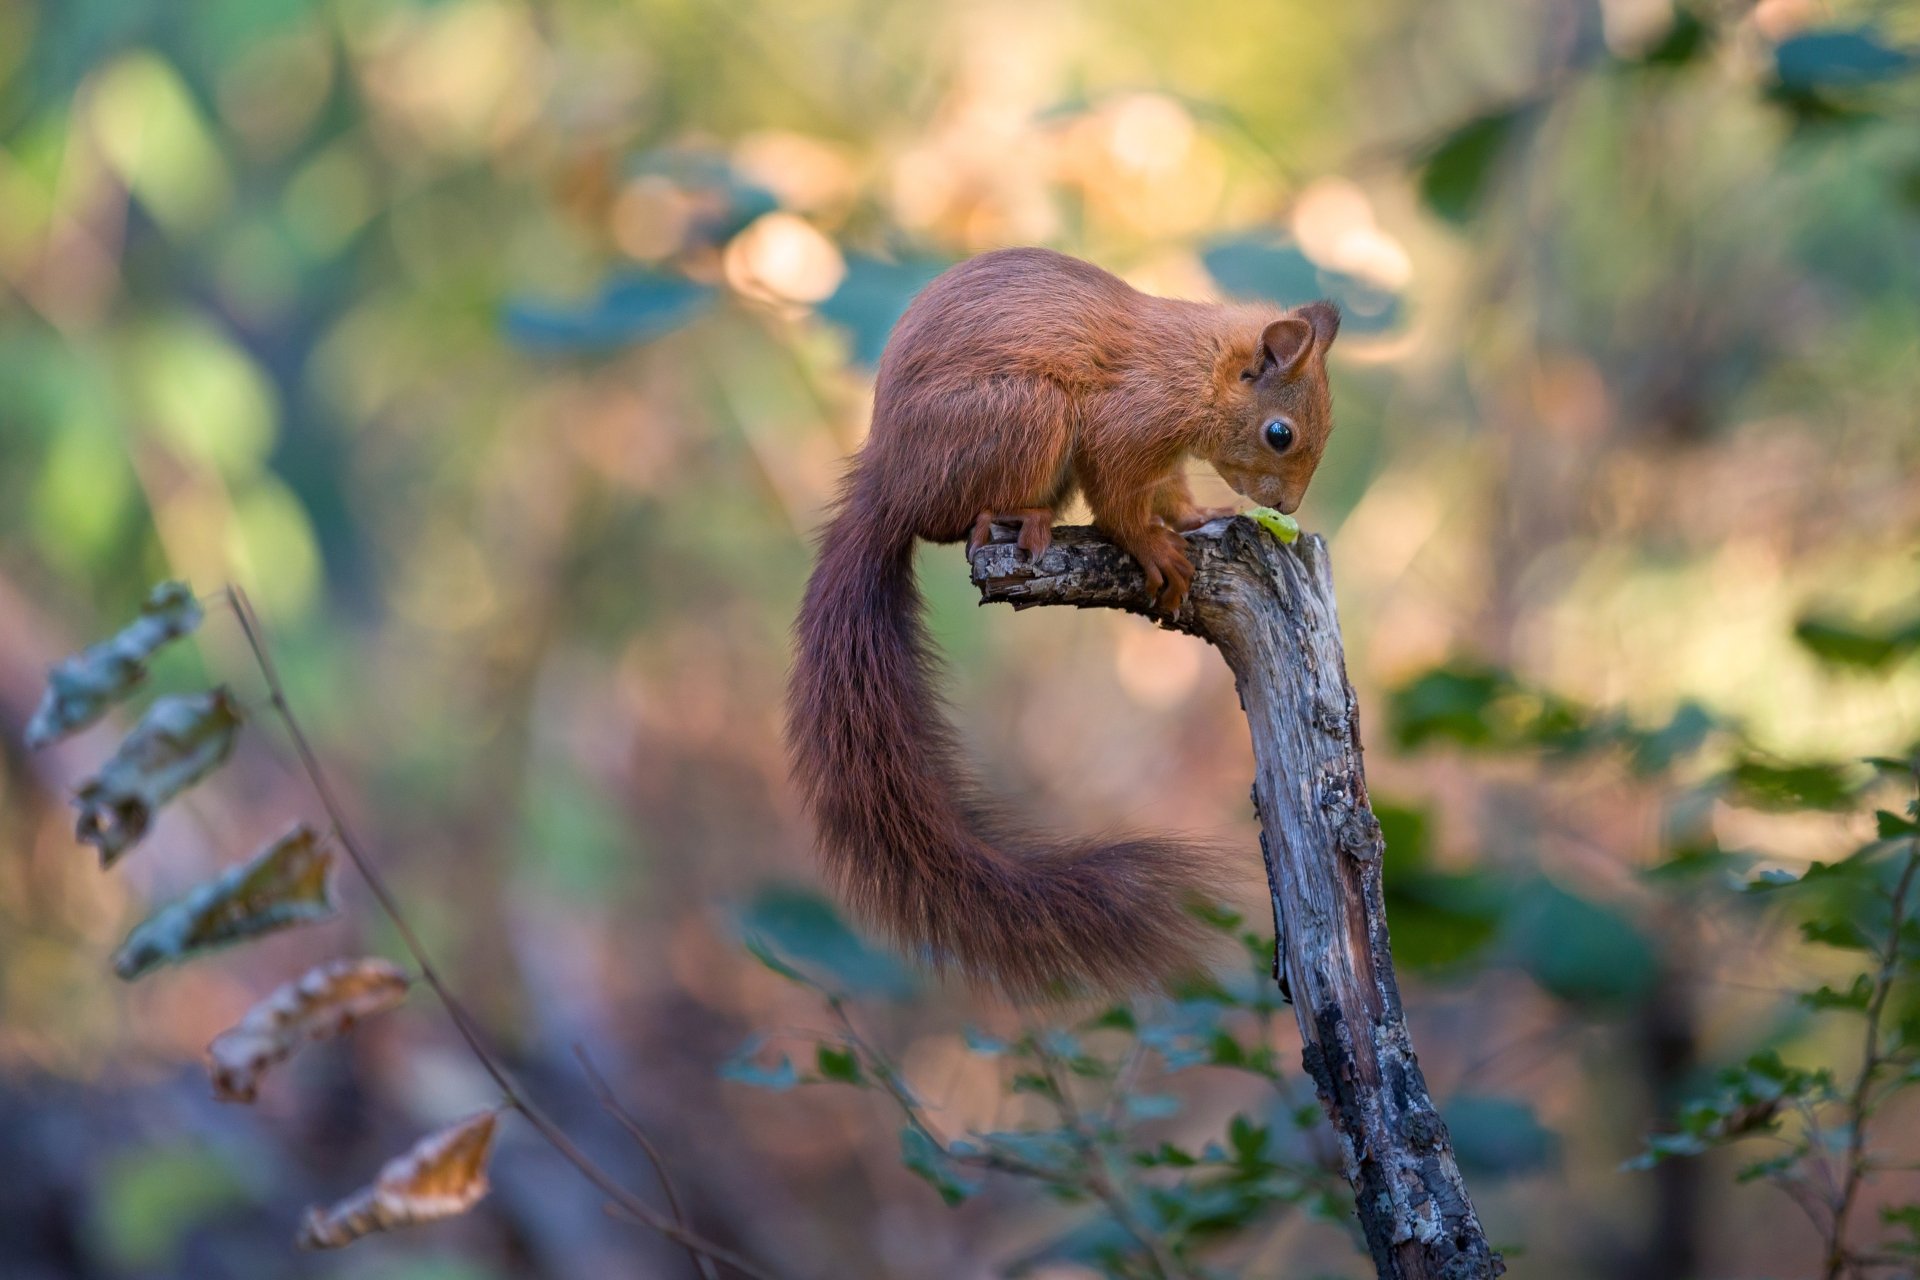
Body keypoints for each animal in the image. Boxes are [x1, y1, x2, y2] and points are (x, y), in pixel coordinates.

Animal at [787, 246, 1341, 998]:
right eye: (1279, 433)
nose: (1285, 507)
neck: (1195, 370)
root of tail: (889, 486)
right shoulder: (1129, 420)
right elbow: (1119, 499)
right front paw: (1153, 548)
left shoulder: (1163, 452)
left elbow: (1168, 492)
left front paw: (1194, 517)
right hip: (1027, 413)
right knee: (951, 521)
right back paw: (1017, 515)